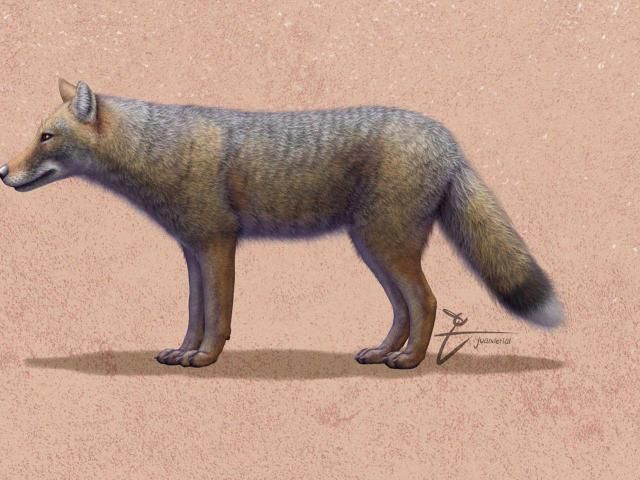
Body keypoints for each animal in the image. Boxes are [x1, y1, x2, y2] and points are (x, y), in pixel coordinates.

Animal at [0, 79, 564, 369]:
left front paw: (205, 358)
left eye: (46, 137)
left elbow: (217, 315)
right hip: (373, 249)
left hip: (386, 246)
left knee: (425, 302)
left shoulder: (218, 245)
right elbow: (194, 312)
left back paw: (408, 361)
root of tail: (446, 138)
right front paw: (183, 351)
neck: (161, 150)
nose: (3, 171)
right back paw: (384, 352)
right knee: (404, 308)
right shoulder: (192, 250)